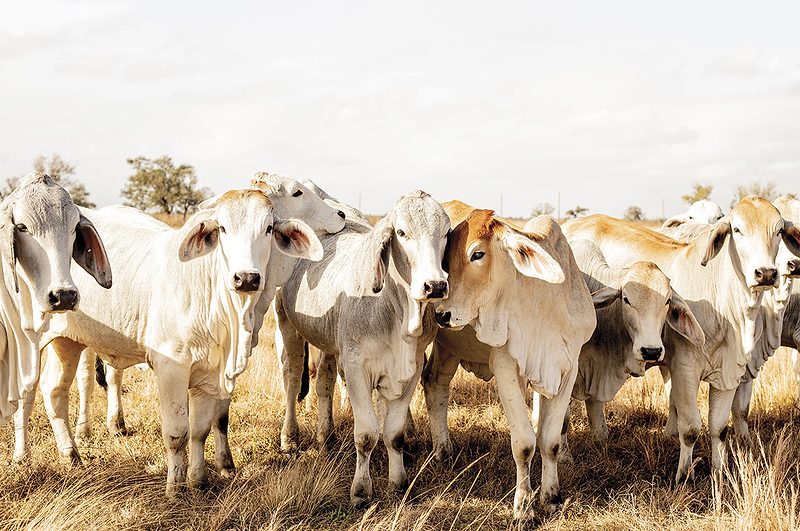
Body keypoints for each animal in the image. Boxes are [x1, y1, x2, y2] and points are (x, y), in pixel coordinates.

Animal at [26, 189, 322, 496]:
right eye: (223, 228)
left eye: (268, 228)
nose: (247, 278)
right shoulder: (171, 369)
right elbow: (177, 433)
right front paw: (175, 489)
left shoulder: (209, 374)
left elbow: (200, 431)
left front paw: (199, 481)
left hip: (67, 342)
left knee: (54, 390)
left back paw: (71, 456)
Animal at [275, 190, 449, 508]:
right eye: (402, 232)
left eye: (445, 232)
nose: (435, 285)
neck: (397, 310)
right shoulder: (357, 368)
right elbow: (367, 434)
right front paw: (361, 490)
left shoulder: (411, 369)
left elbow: (394, 433)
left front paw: (399, 482)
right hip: (288, 327)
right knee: (293, 380)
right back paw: (289, 438)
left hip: (330, 346)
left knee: (324, 383)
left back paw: (325, 436)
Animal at [427, 202, 595, 519]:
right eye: (445, 259)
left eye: (477, 254)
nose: (441, 314)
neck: (542, 303)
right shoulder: (505, 368)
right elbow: (525, 444)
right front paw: (523, 506)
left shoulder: (566, 369)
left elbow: (550, 440)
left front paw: (551, 496)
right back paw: (440, 448)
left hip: (449, 347)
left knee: (434, 383)